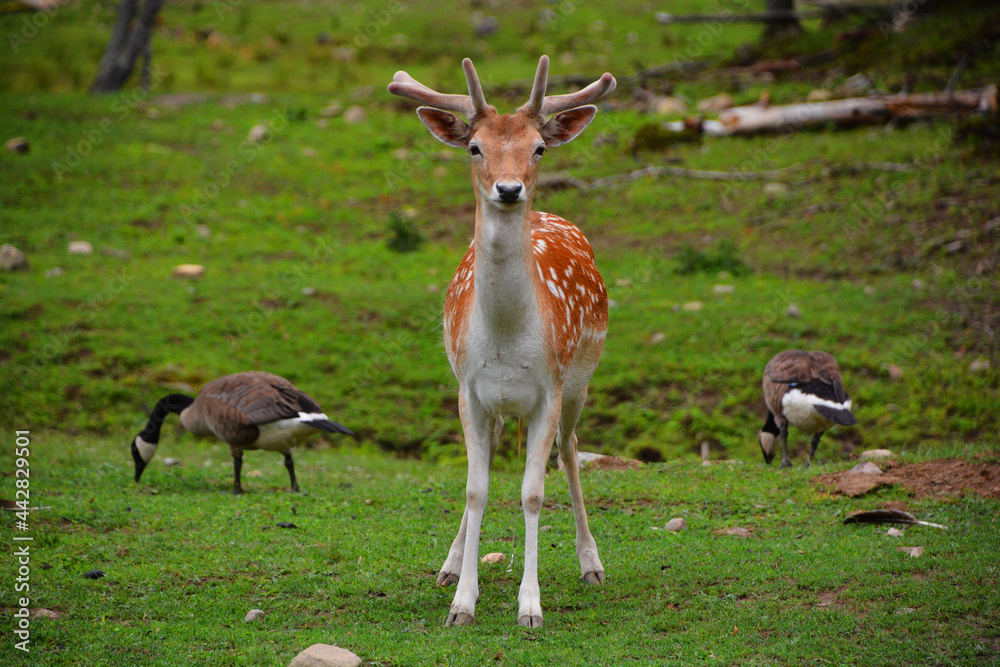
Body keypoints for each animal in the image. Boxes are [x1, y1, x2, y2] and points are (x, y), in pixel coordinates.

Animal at [388, 56, 616, 628]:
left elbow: (533, 493)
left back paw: (592, 563)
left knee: (570, 452)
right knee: (491, 461)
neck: (508, 340)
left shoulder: (548, 393)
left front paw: (529, 607)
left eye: (538, 147)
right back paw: (448, 565)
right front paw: (461, 602)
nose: (509, 189)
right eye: (475, 147)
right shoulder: (468, 391)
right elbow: (476, 488)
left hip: (581, 381)